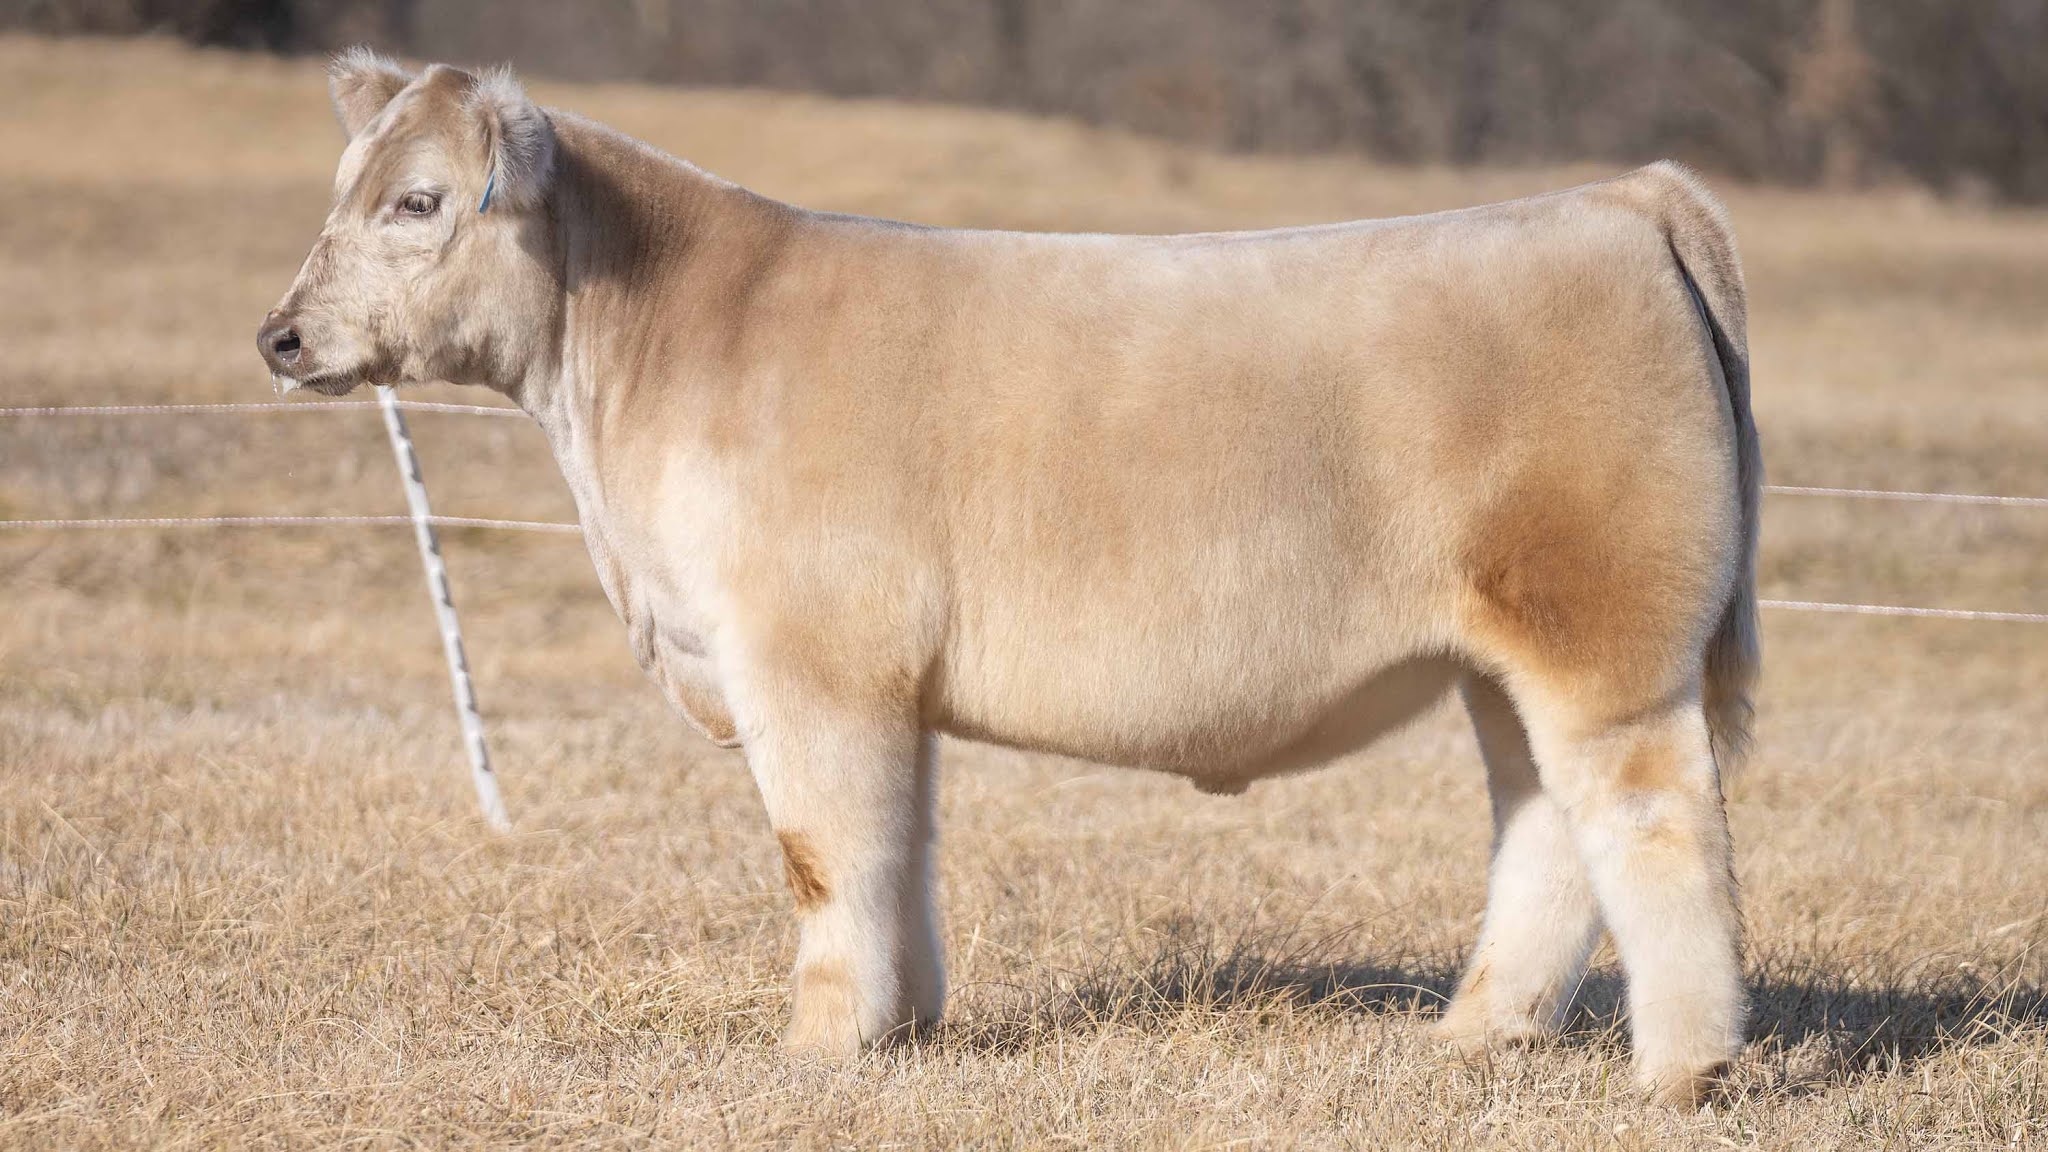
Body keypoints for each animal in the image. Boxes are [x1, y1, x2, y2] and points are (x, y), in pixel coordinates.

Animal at [258, 51, 1761, 1106]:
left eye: (417, 200)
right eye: (341, 189)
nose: (280, 336)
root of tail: (1619, 197)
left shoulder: (807, 665)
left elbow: (824, 855)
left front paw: (818, 1047)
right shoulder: (884, 687)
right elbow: (900, 848)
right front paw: (906, 1026)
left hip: (1605, 642)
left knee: (1654, 822)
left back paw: (1683, 1070)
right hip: (1506, 660)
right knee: (1544, 827)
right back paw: (1476, 1036)